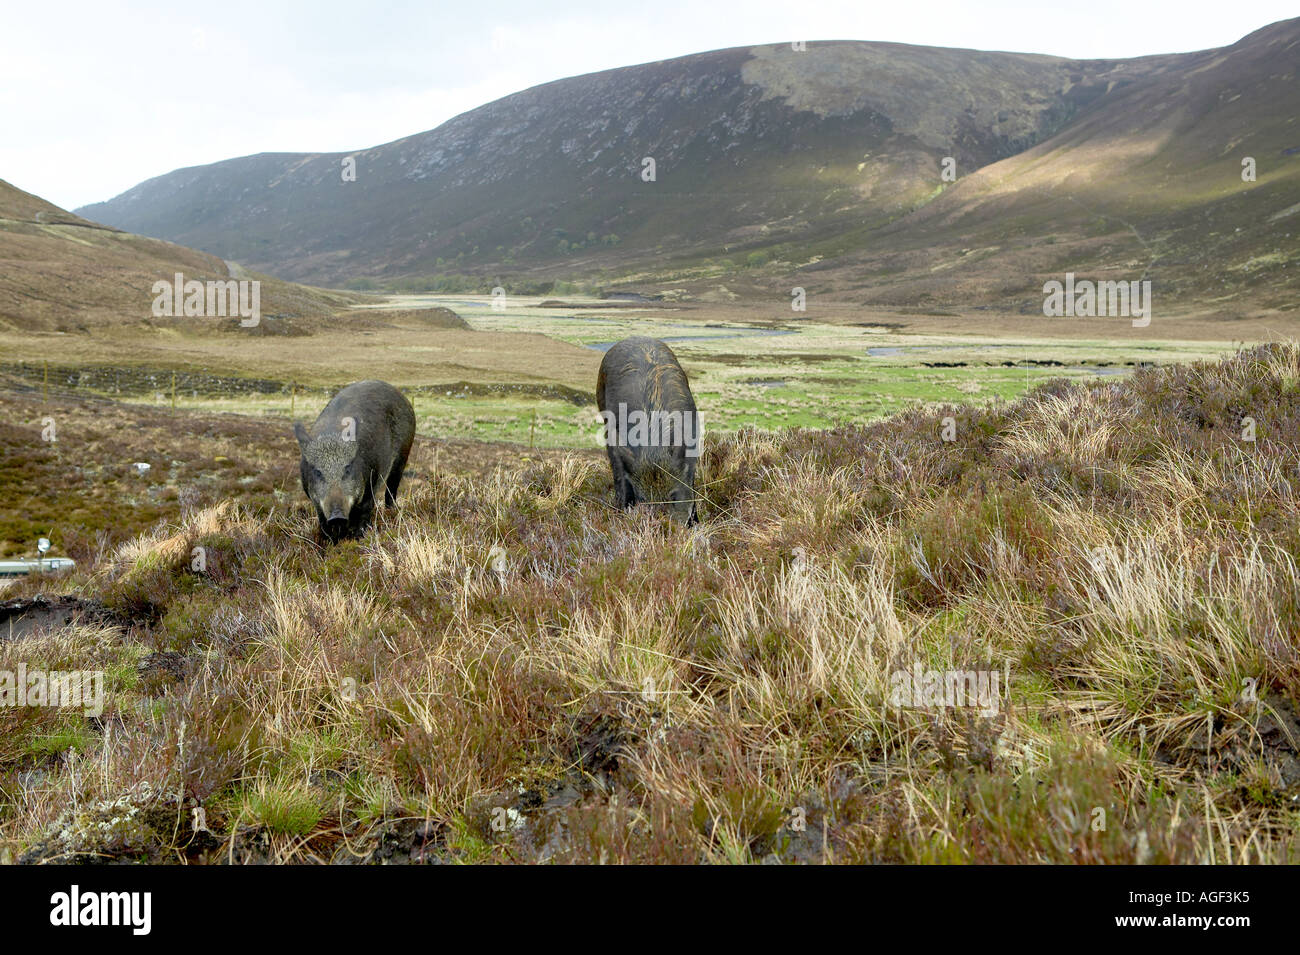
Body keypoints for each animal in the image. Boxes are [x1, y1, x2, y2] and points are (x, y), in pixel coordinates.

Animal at [294, 380, 416, 542]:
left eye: (347, 468)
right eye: (318, 471)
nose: (337, 516)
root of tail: (403, 397)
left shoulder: (371, 482)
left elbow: (365, 513)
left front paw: (358, 540)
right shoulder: (315, 501)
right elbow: (324, 523)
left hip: (404, 453)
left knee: (391, 488)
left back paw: (391, 512)